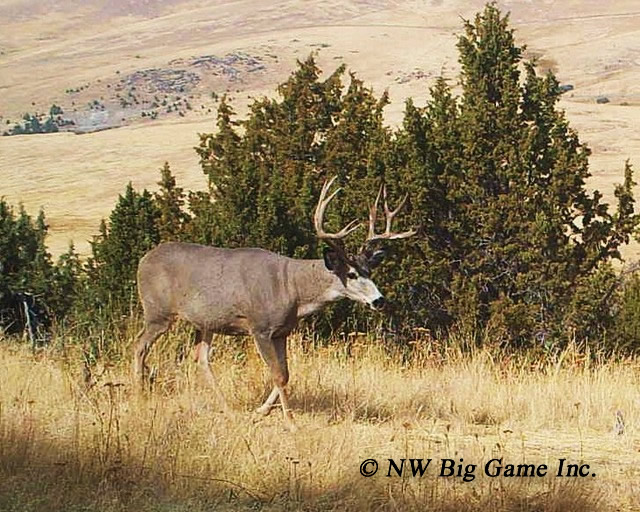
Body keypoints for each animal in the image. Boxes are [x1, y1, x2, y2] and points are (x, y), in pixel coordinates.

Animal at [133, 176, 415, 431]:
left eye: (370, 270)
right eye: (352, 274)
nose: (379, 300)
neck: (292, 288)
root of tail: (143, 260)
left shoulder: (282, 332)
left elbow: (286, 374)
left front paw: (260, 412)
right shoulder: (260, 328)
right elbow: (278, 374)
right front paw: (291, 423)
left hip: (205, 323)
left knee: (201, 358)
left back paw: (228, 409)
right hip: (157, 312)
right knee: (139, 345)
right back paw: (141, 396)